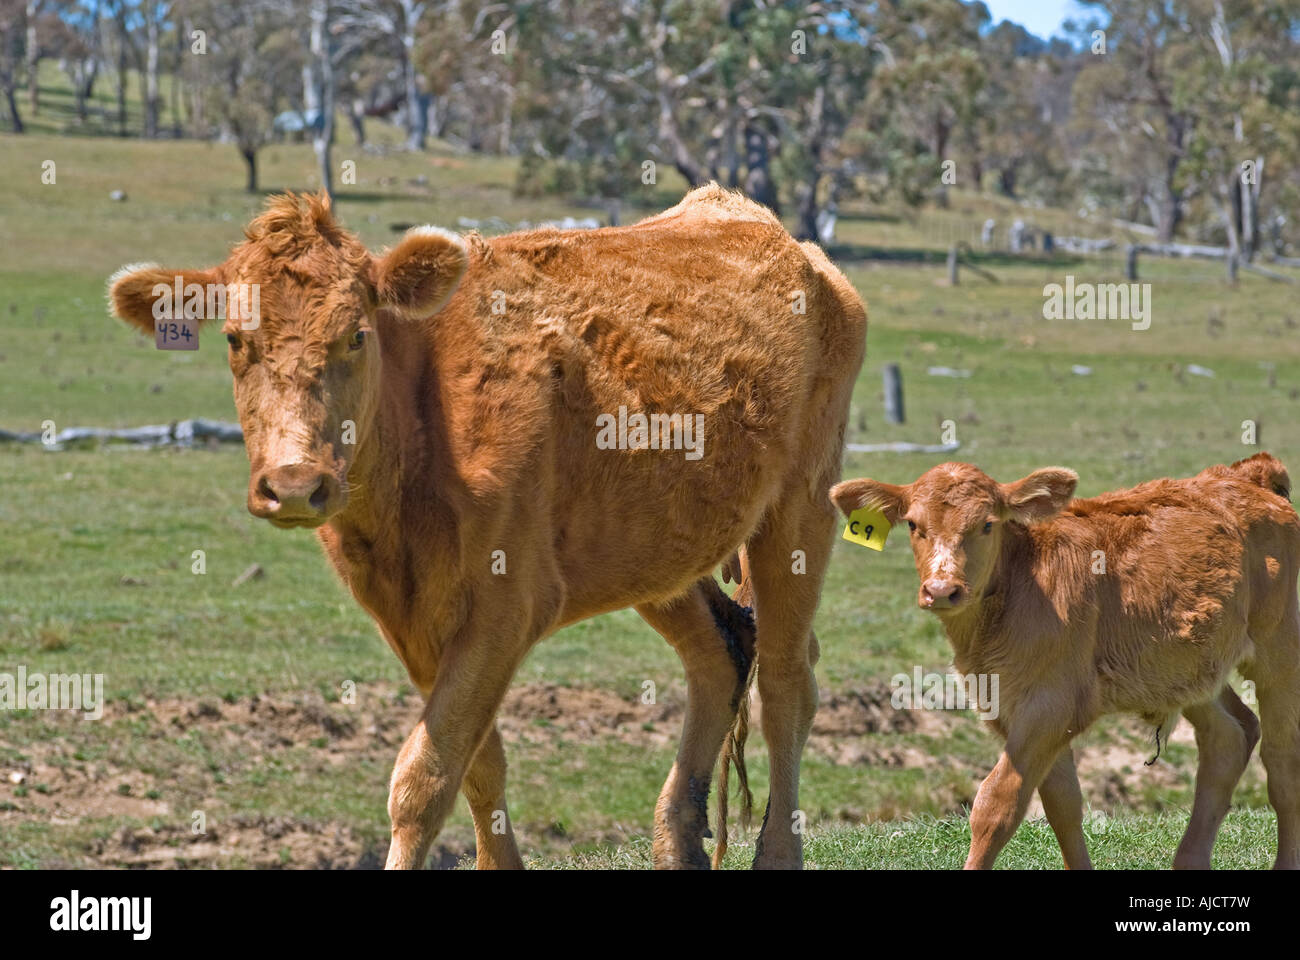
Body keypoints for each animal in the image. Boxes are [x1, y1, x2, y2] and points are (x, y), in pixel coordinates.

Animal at [108, 185, 867, 869]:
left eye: (356, 335)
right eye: (236, 340)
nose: (295, 482)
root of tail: (764, 226)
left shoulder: (508, 603)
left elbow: (424, 777)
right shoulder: (411, 618)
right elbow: (477, 763)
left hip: (800, 509)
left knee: (786, 683)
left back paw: (775, 852)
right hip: (656, 547)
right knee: (722, 652)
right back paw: (676, 842)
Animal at [830, 453, 1300, 870]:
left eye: (987, 524)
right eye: (914, 525)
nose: (942, 589)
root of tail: (1244, 475)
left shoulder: (1048, 704)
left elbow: (997, 804)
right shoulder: (1018, 708)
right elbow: (1062, 805)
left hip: (1279, 650)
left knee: (1282, 760)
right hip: (1188, 668)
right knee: (1230, 737)